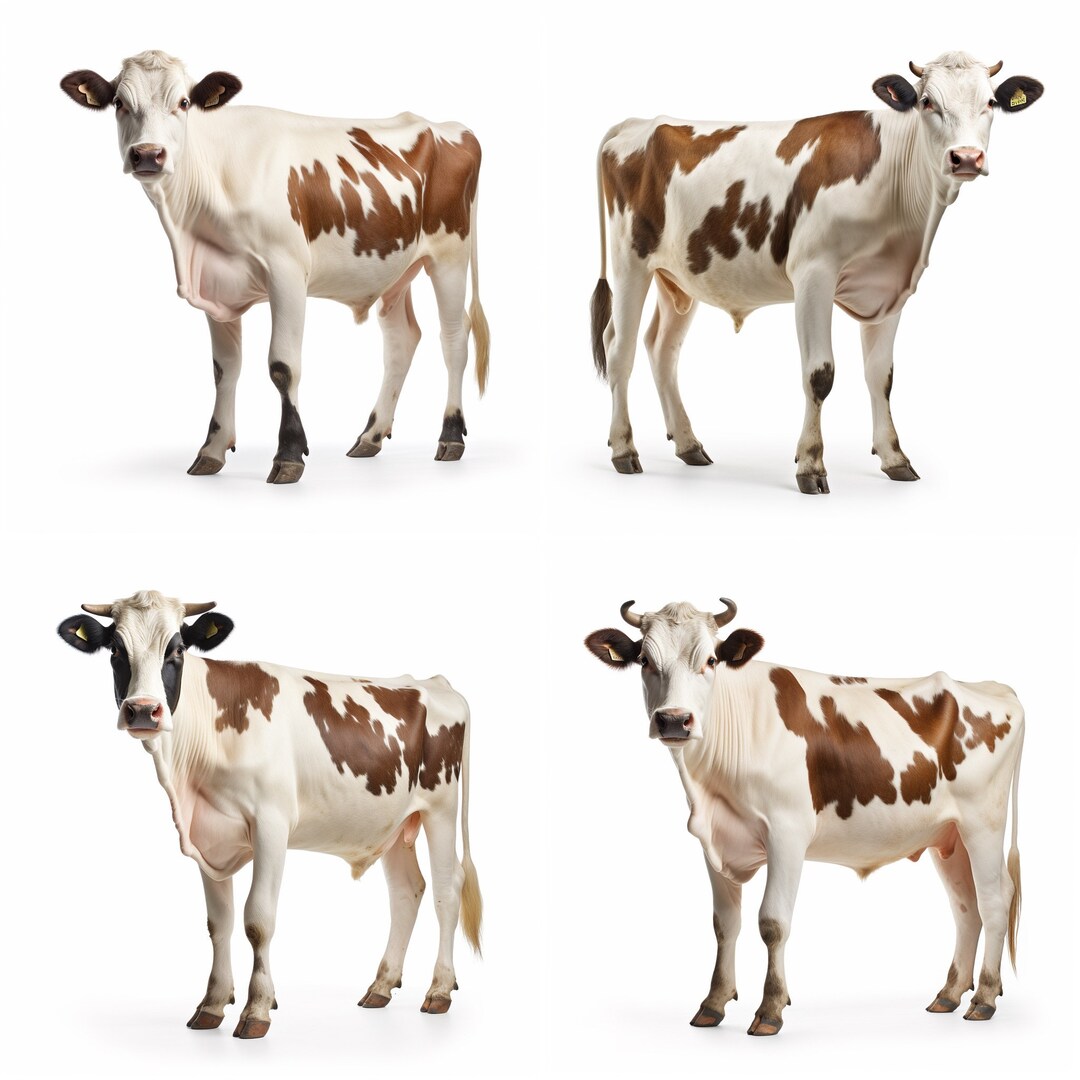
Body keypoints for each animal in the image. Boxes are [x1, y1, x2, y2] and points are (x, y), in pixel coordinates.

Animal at [58, 590, 482, 1038]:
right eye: (116, 650)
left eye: (176, 650)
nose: (143, 710)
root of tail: (434, 683)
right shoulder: (208, 833)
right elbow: (219, 923)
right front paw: (212, 1003)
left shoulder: (271, 825)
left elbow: (257, 920)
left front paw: (257, 1008)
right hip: (394, 820)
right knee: (406, 891)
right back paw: (381, 986)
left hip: (441, 808)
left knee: (446, 890)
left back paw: (439, 990)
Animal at [61, 51, 489, 483]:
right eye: (119, 103)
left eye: (182, 103)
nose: (148, 154)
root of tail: (452, 127)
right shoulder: (216, 280)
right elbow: (224, 369)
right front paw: (212, 449)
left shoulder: (287, 273)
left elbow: (283, 366)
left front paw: (289, 454)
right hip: (394, 267)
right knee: (402, 340)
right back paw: (370, 436)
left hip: (449, 255)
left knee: (454, 338)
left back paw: (451, 436)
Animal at [585, 598, 1023, 1035]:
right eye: (644, 660)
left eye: (710, 660)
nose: (674, 720)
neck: (710, 786)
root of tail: (995, 688)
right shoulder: (714, 838)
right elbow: (725, 924)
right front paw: (713, 1002)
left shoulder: (787, 833)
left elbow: (772, 923)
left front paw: (770, 1008)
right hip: (948, 836)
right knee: (966, 907)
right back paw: (949, 994)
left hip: (984, 824)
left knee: (994, 900)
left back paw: (984, 997)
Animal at [590, 52, 1043, 493]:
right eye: (927, 101)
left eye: (991, 103)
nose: (966, 157)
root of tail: (638, 122)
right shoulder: (813, 274)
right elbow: (819, 374)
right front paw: (810, 464)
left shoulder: (891, 285)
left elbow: (881, 376)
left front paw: (895, 458)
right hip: (629, 261)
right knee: (619, 348)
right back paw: (624, 450)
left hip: (679, 276)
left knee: (662, 348)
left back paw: (688, 445)